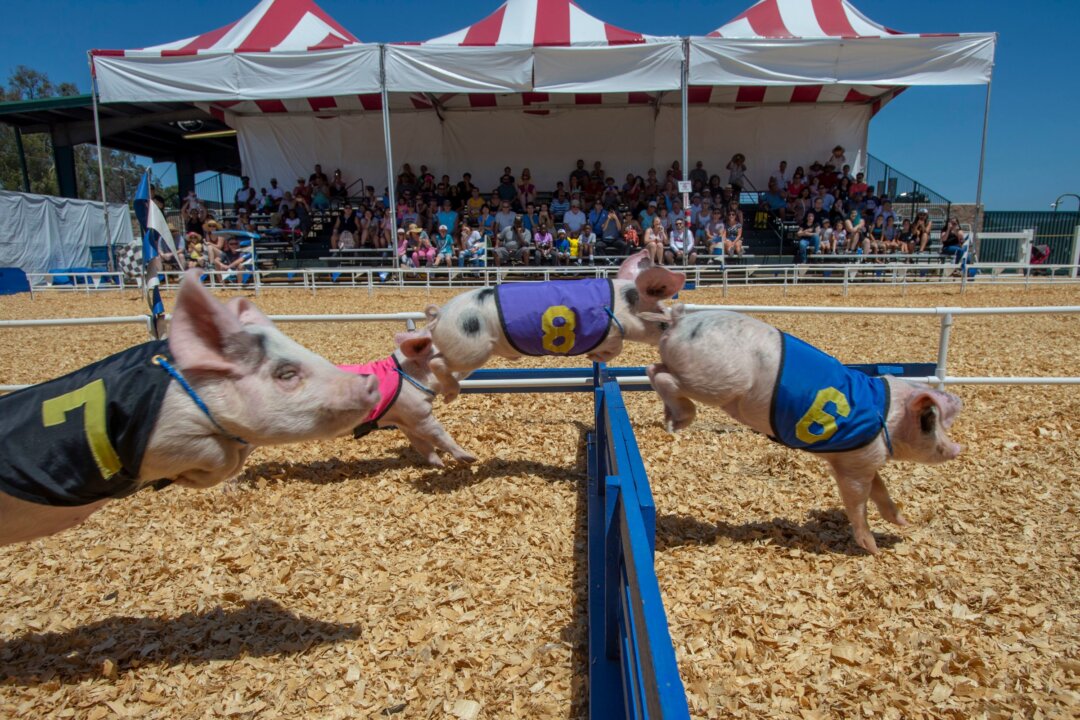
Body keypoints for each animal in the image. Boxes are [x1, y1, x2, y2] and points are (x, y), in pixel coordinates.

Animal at [338, 328, 476, 467]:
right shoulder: (419, 415)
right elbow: (440, 436)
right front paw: (471, 458)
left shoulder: (405, 420)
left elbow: (422, 444)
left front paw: (439, 465)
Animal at [425, 250, 685, 401]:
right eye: (662, 323)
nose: (670, 337)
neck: (619, 304)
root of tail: (440, 316)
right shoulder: (609, 333)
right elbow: (615, 348)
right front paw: (594, 356)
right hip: (471, 351)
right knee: (435, 362)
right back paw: (450, 395)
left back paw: (445, 395)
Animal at [645, 306, 963, 555]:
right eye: (929, 422)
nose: (956, 449)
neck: (887, 415)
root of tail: (679, 321)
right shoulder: (854, 465)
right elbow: (858, 502)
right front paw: (873, 549)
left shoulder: (860, 459)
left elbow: (881, 490)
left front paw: (903, 523)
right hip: (715, 382)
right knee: (661, 376)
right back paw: (681, 421)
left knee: (653, 369)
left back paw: (671, 420)